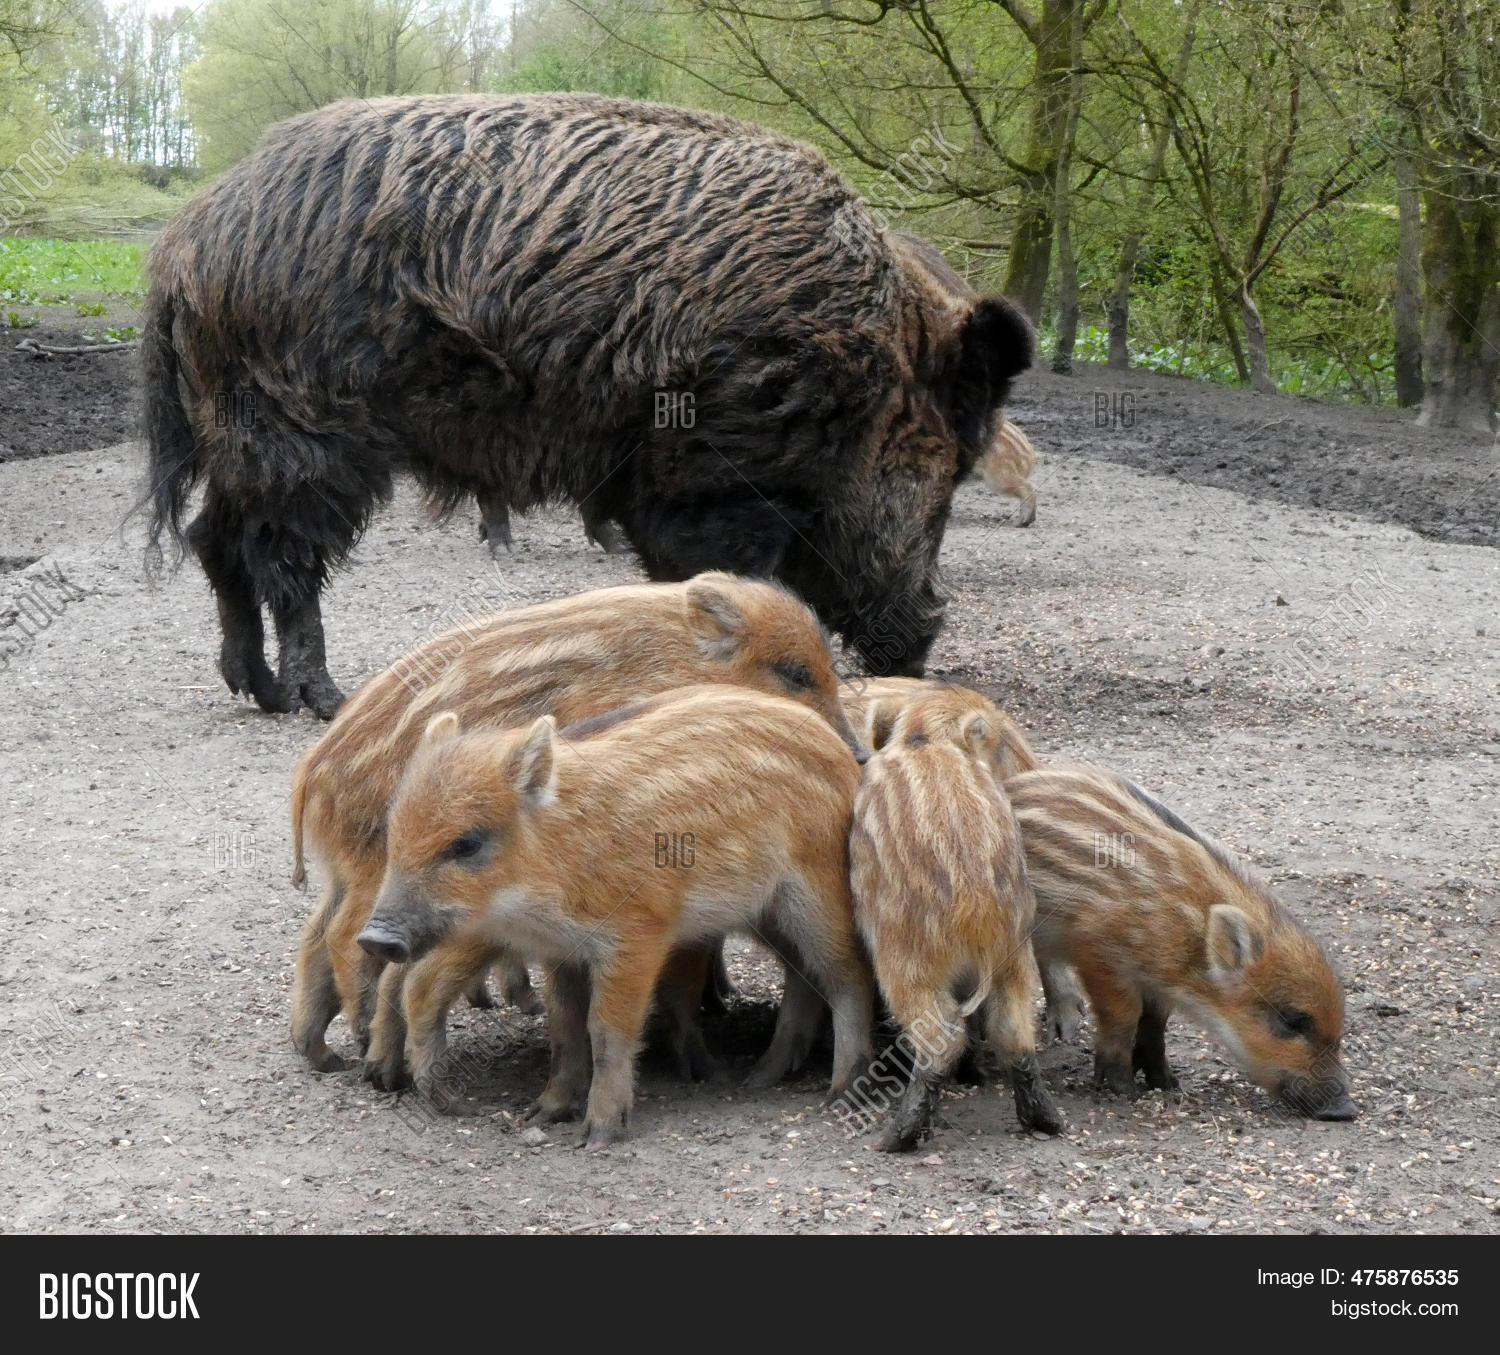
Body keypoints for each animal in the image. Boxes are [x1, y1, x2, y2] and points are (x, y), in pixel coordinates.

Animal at [288, 572, 867, 1075]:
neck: (677, 665)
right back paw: (363, 1040)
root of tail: (312, 772)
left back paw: (324, 1052)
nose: (860, 756)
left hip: (350, 871)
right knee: (345, 937)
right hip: (377, 868)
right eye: (794, 672)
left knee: (315, 933)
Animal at [358, 684, 876, 1149]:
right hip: (766, 915)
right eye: (393, 830)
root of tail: (844, 756)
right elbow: (565, 1028)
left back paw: (837, 1093)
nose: (375, 938)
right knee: (803, 977)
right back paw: (758, 1078)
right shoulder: (560, 951)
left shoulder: (638, 933)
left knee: (847, 976)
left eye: (466, 844)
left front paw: (599, 1135)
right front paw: (542, 1114)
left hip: (814, 896)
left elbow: (606, 1030)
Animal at [849, 686, 1062, 1150]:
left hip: (906, 958)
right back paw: (1046, 1120)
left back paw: (898, 1137)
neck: (925, 740)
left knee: (942, 1036)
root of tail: (976, 906)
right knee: (1012, 1029)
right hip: (1013, 952)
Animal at [1006, 765, 1356, 1120]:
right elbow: (1124, 1017)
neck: (1188, 930)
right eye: (1291, 1020)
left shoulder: (1159, 979)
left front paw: (1167, 1082)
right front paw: (1122, 1088)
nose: (1344, 1110)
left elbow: (1155, 1023)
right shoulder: (1097, 953)